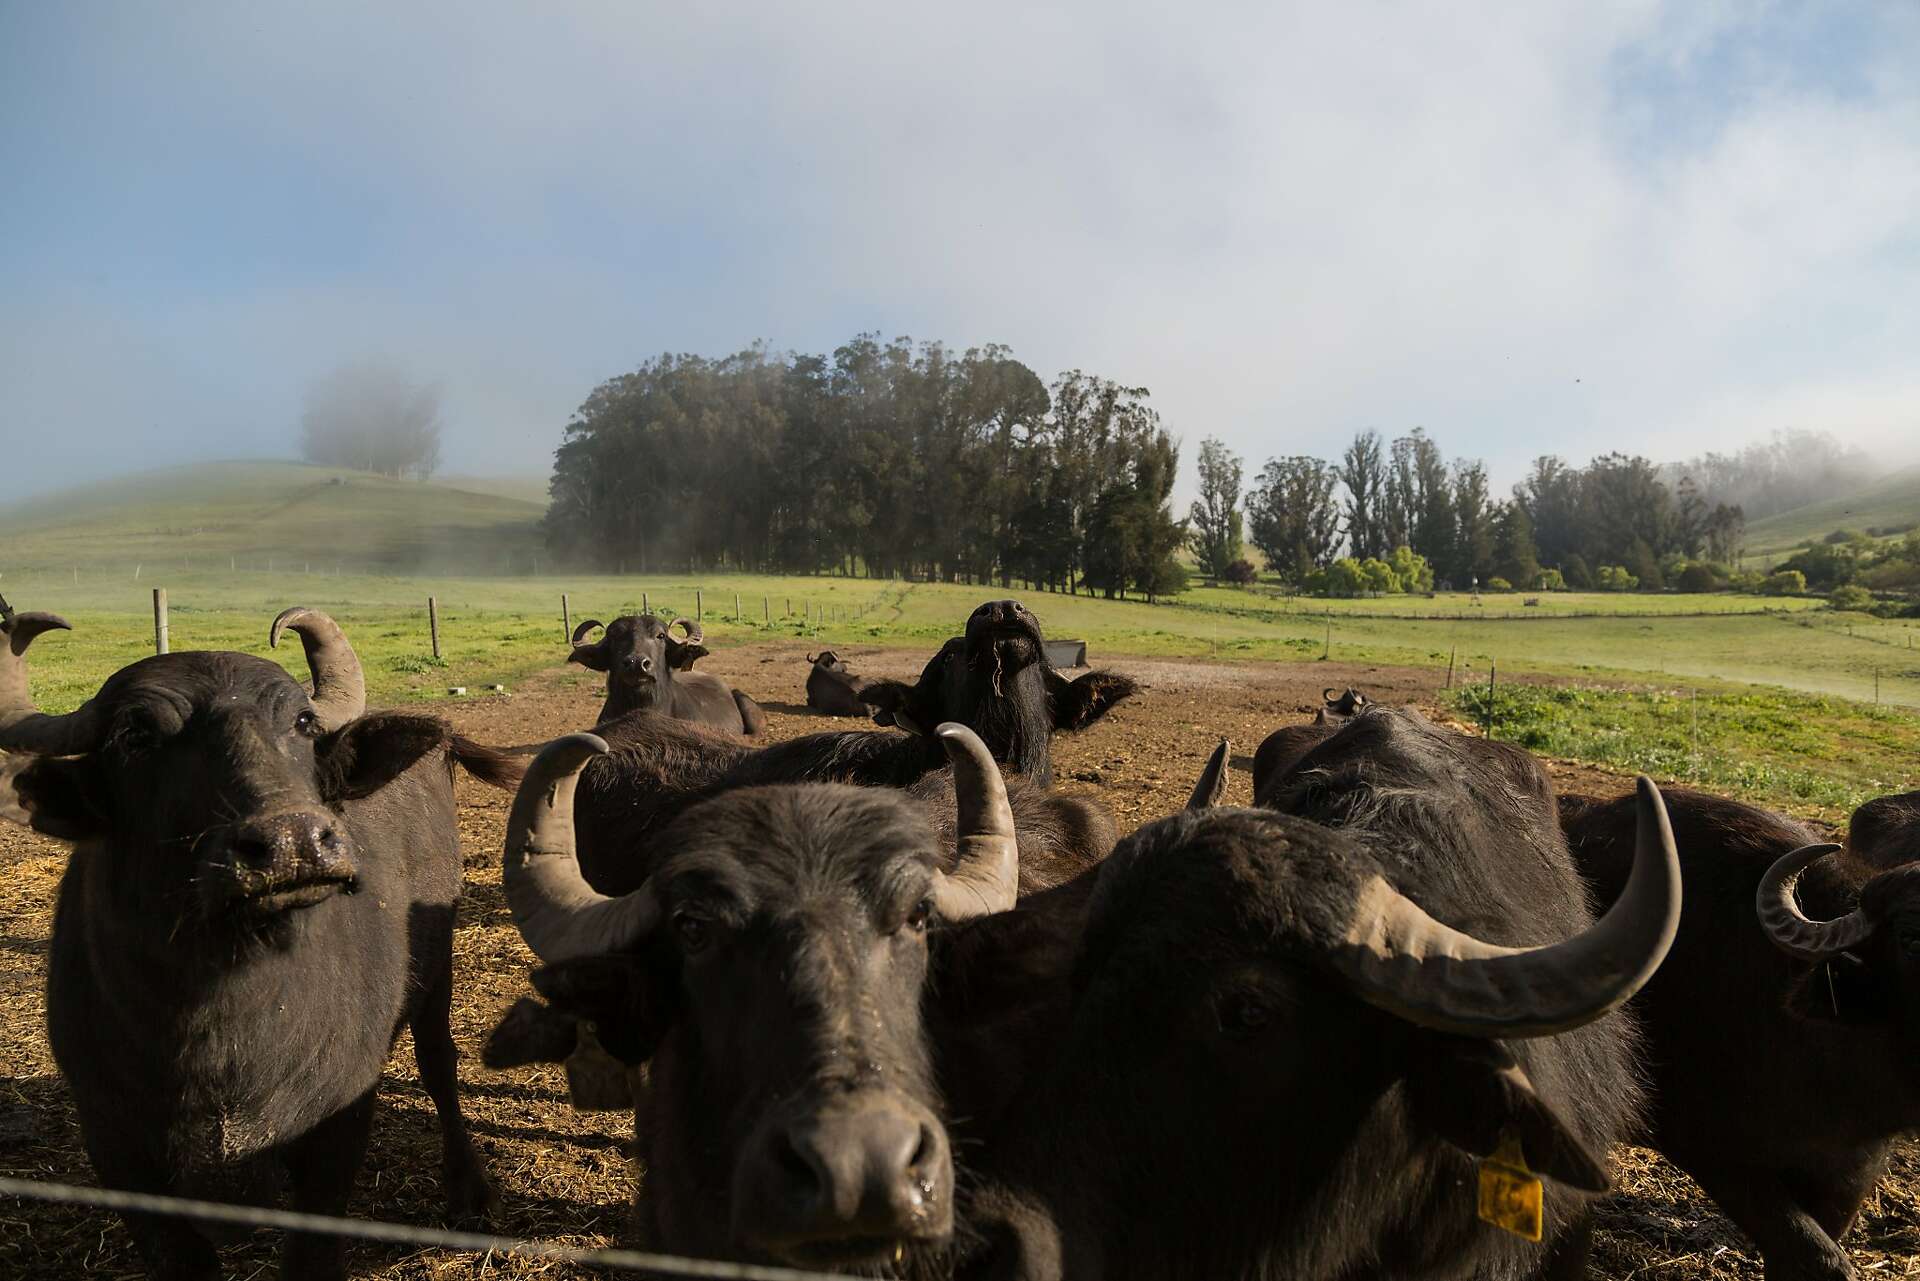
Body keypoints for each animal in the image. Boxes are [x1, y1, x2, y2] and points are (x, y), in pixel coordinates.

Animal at [0, 601, 515, 1281]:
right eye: (134, 737)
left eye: (301, 722)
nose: (292, 839)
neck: (225, 1013)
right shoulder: (117, 1145)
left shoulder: (339, 1122)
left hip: (437, 966)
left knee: (439, 1063)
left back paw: (469, 1194)